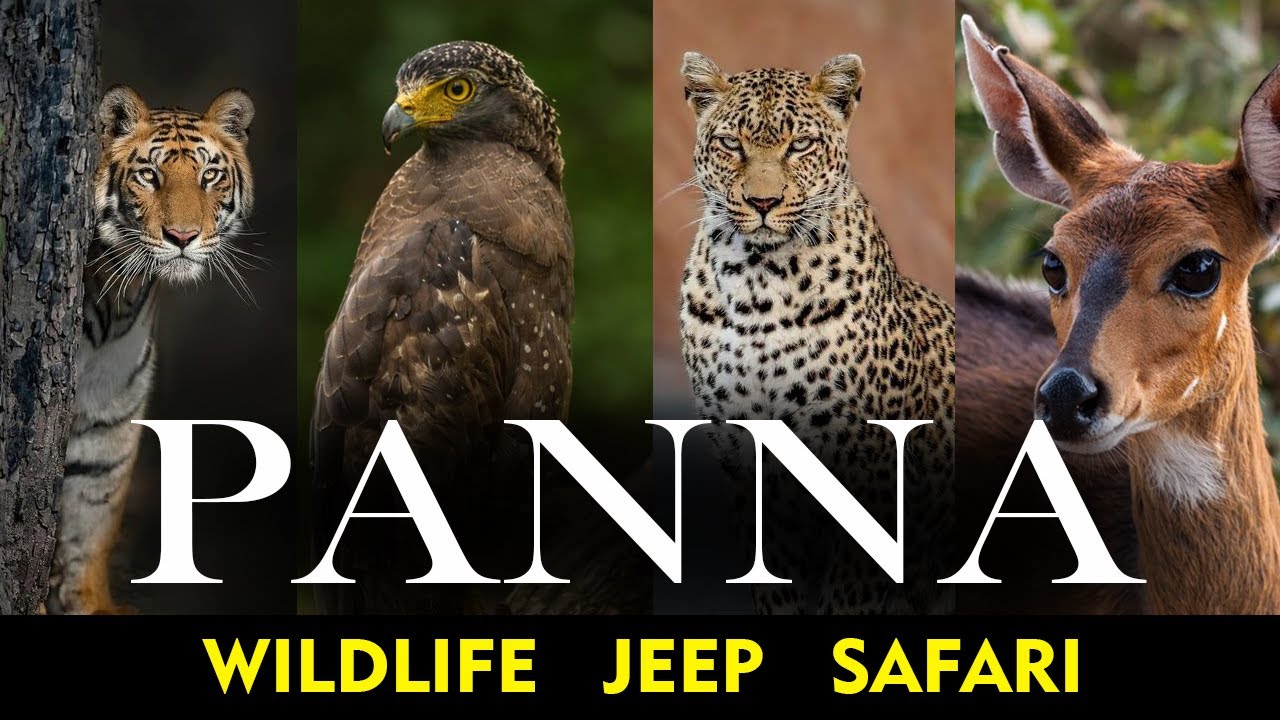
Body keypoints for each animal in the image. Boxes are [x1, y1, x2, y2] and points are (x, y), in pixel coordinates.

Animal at [45, 85, 256, 614]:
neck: (113, 307)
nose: (182, 237)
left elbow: (88, 538)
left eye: (209, 175)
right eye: (148, 175)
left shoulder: (109, 433)